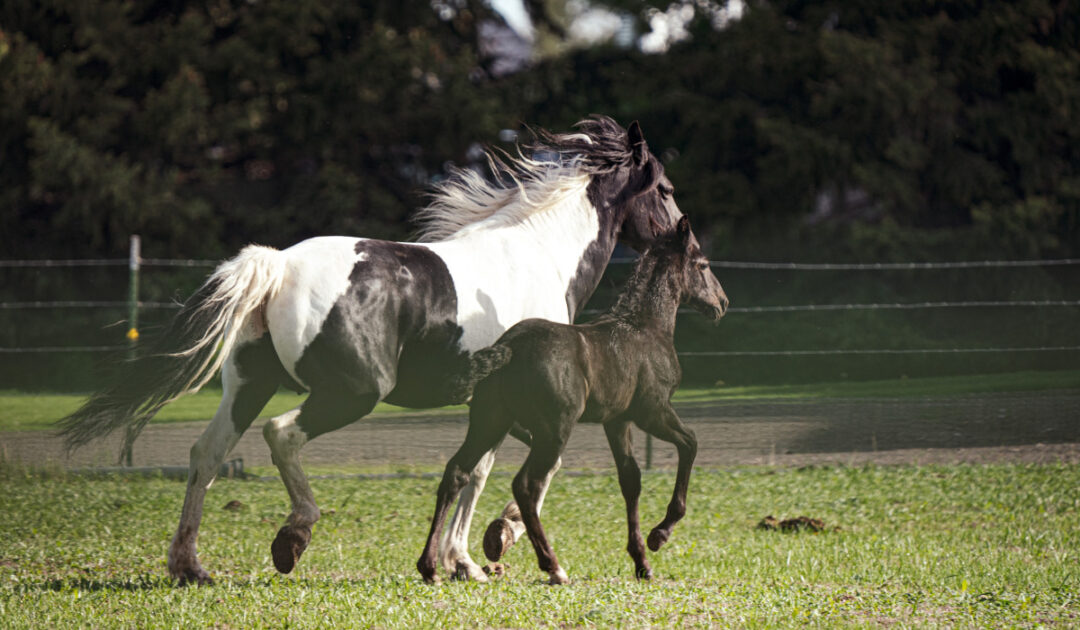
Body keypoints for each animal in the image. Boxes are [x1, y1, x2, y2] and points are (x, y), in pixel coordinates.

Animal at [416, 216, 728, 585]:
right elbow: (690, 444)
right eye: (703, 264)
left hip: (490, 420)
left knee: (457, 471)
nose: (722, 303)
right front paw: (659, 535)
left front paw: (641, 562)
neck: (644, 327)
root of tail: (510, 346)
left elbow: (631, 479)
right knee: (526, 485)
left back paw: (430, 566)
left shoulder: (617, 420)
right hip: (554, 429)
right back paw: (553, 566)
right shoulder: (653, 410)